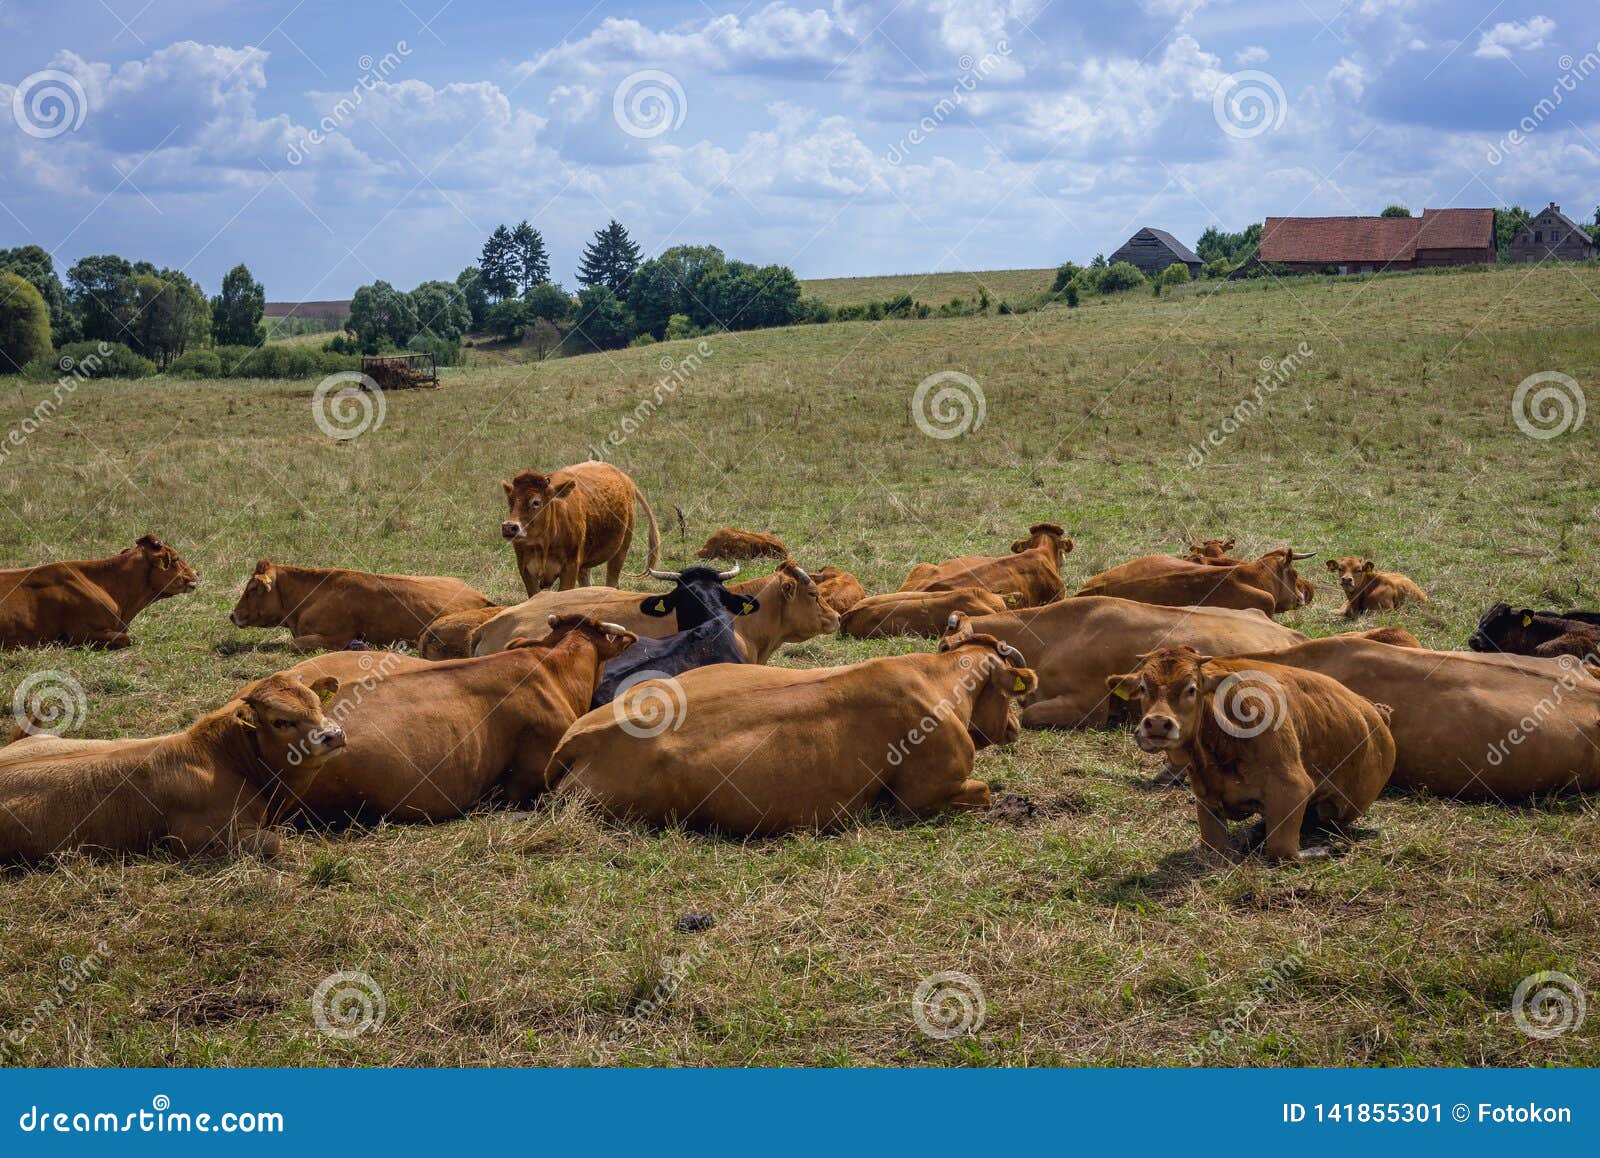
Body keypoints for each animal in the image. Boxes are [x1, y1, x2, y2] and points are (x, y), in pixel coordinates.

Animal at [500, 461, 661, 595]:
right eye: (510, 500)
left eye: (536, 502)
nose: (509, 527)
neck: (543, 545)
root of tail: (625, 478)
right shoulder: (526, 570)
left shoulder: (569, 568)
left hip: (621, 549)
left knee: (612, 582)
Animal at [547, 633, 1037, 834]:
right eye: (1007, 696)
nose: (1015, 726)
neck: (936, 679)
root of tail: (581, 736)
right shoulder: (923, 796)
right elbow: (984, 791)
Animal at [1105, 647, 1394, 863]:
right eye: (1144, 687)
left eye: (1191, 688)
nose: (1156, 724)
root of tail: (1374, 710)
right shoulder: (1205, 798)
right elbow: (1217, 850)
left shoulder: (1293, 787)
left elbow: (1282, 851)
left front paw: (1330, 848)